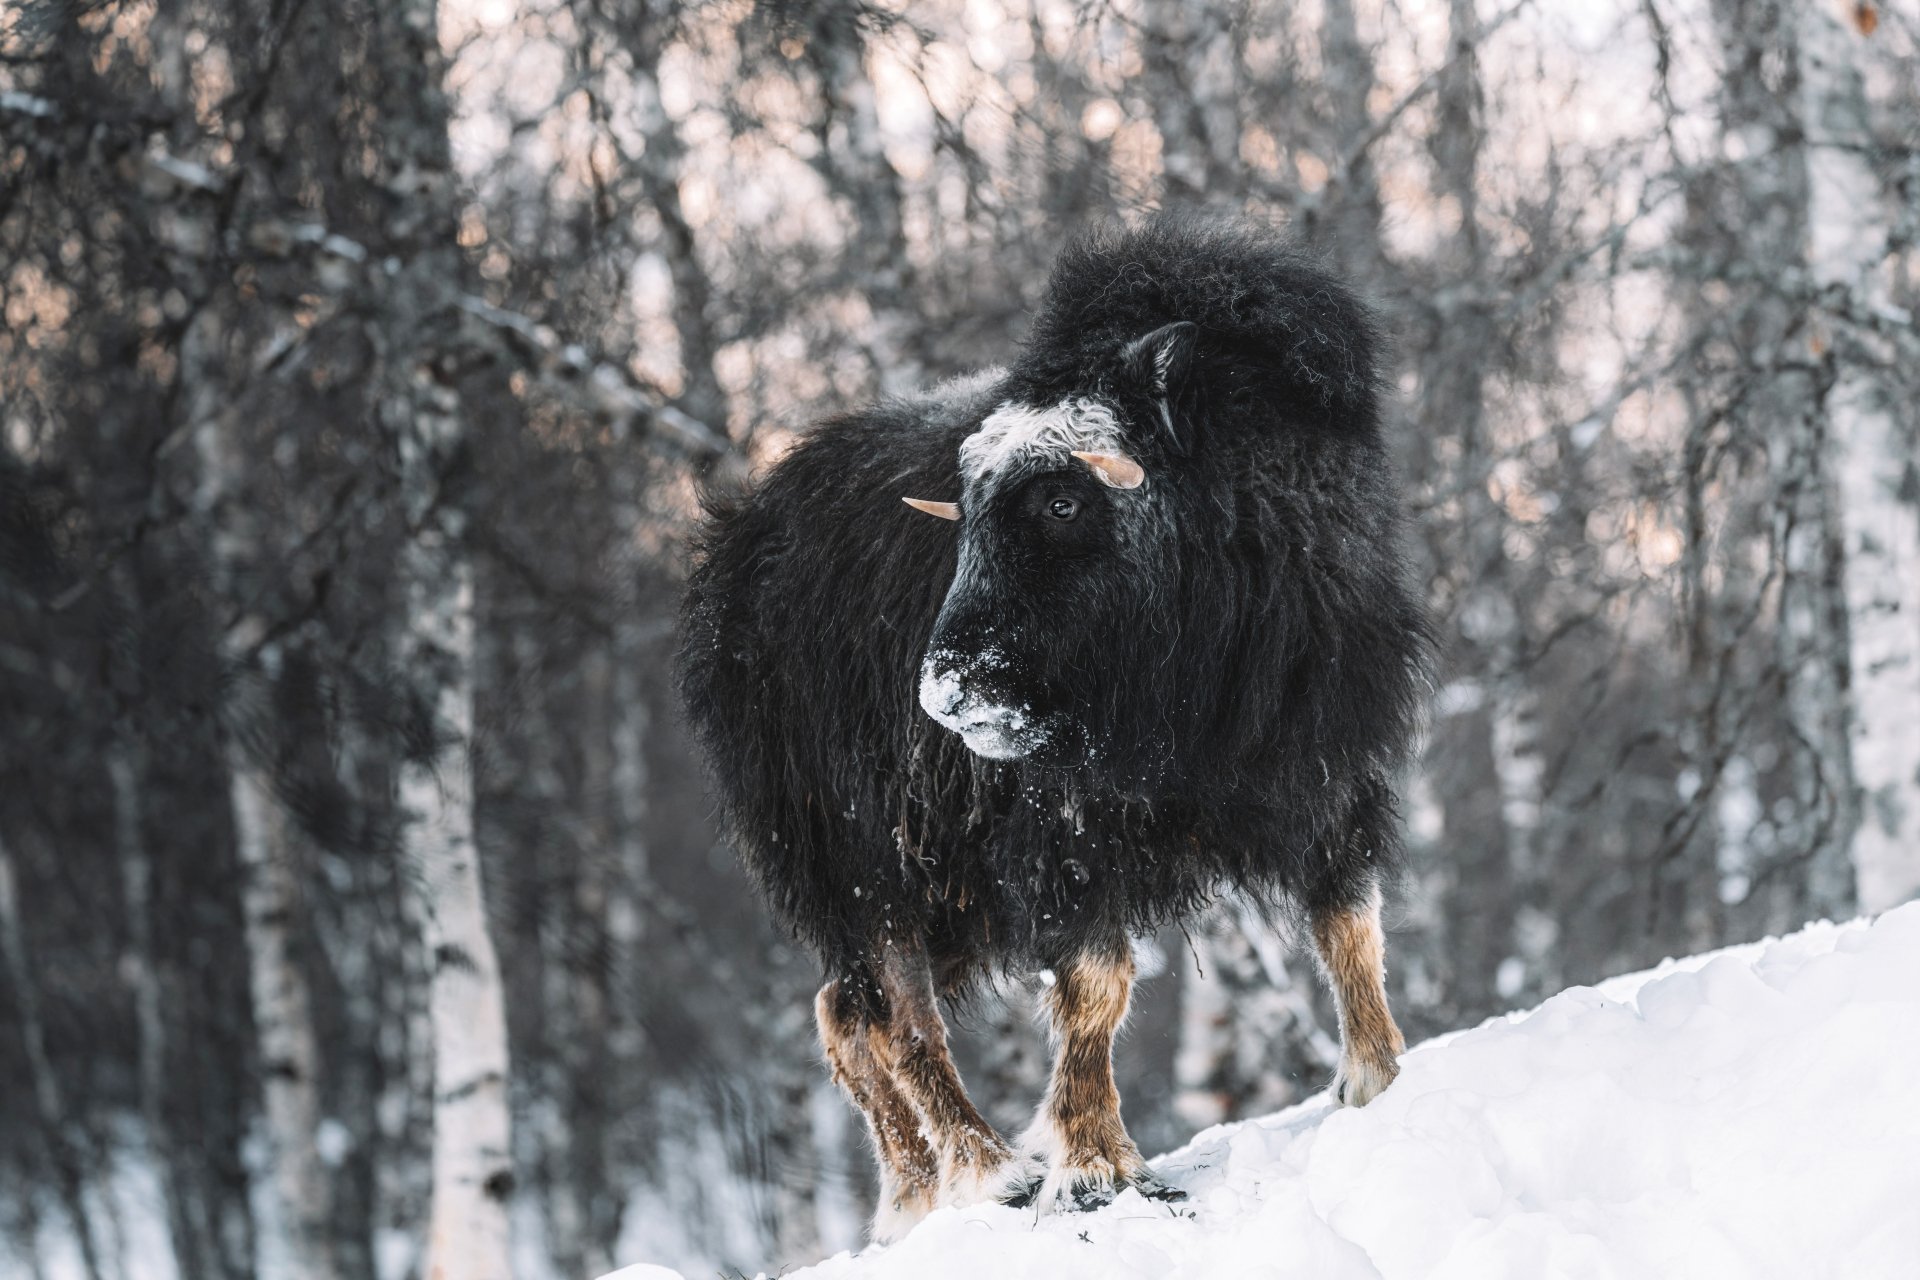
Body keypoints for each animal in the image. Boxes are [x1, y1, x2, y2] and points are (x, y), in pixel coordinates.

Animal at [676, 214, 1433, 1241]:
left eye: (1063, 500)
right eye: (964, 516)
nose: (947, 696)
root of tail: (736, 558)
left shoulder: (1322, 771)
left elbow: (1350, 924)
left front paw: (1378, 1084)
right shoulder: (1063, 836)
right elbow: (1095, 986)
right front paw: (1094, 1169)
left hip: (938, 896)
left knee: (847, 1010)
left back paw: (912, 1203)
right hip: (860, 860)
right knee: (896, 1014)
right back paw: (988, 1173)